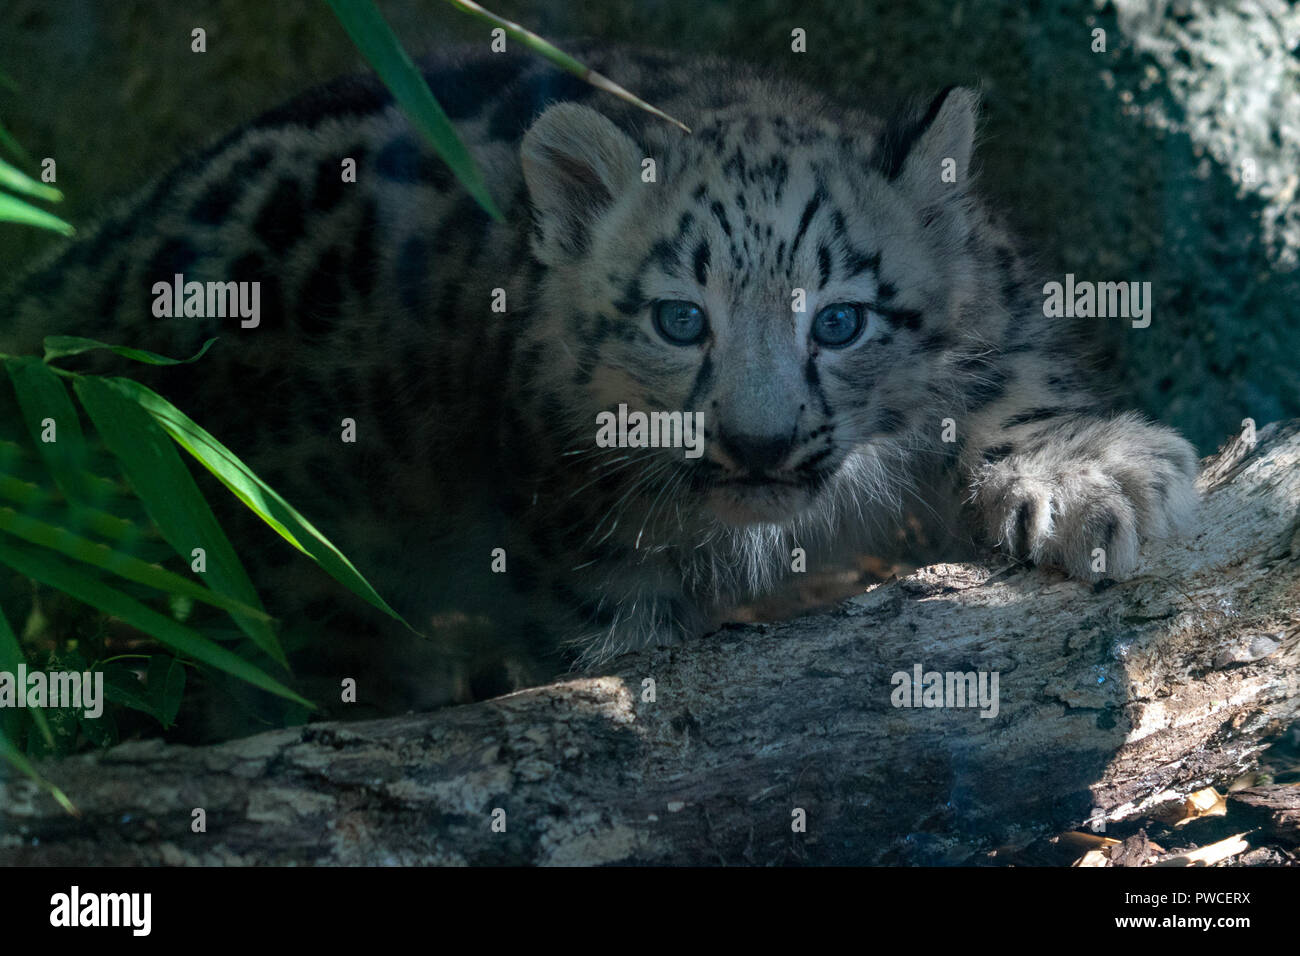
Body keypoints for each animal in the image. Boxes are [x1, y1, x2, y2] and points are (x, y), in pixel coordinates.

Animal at [0, 45, 1200, 717]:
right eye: (680, 317)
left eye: (840, 319)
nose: (758, 444)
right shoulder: (572, 547)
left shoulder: (996, 326)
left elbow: (1010, 389)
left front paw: (1097, 483)